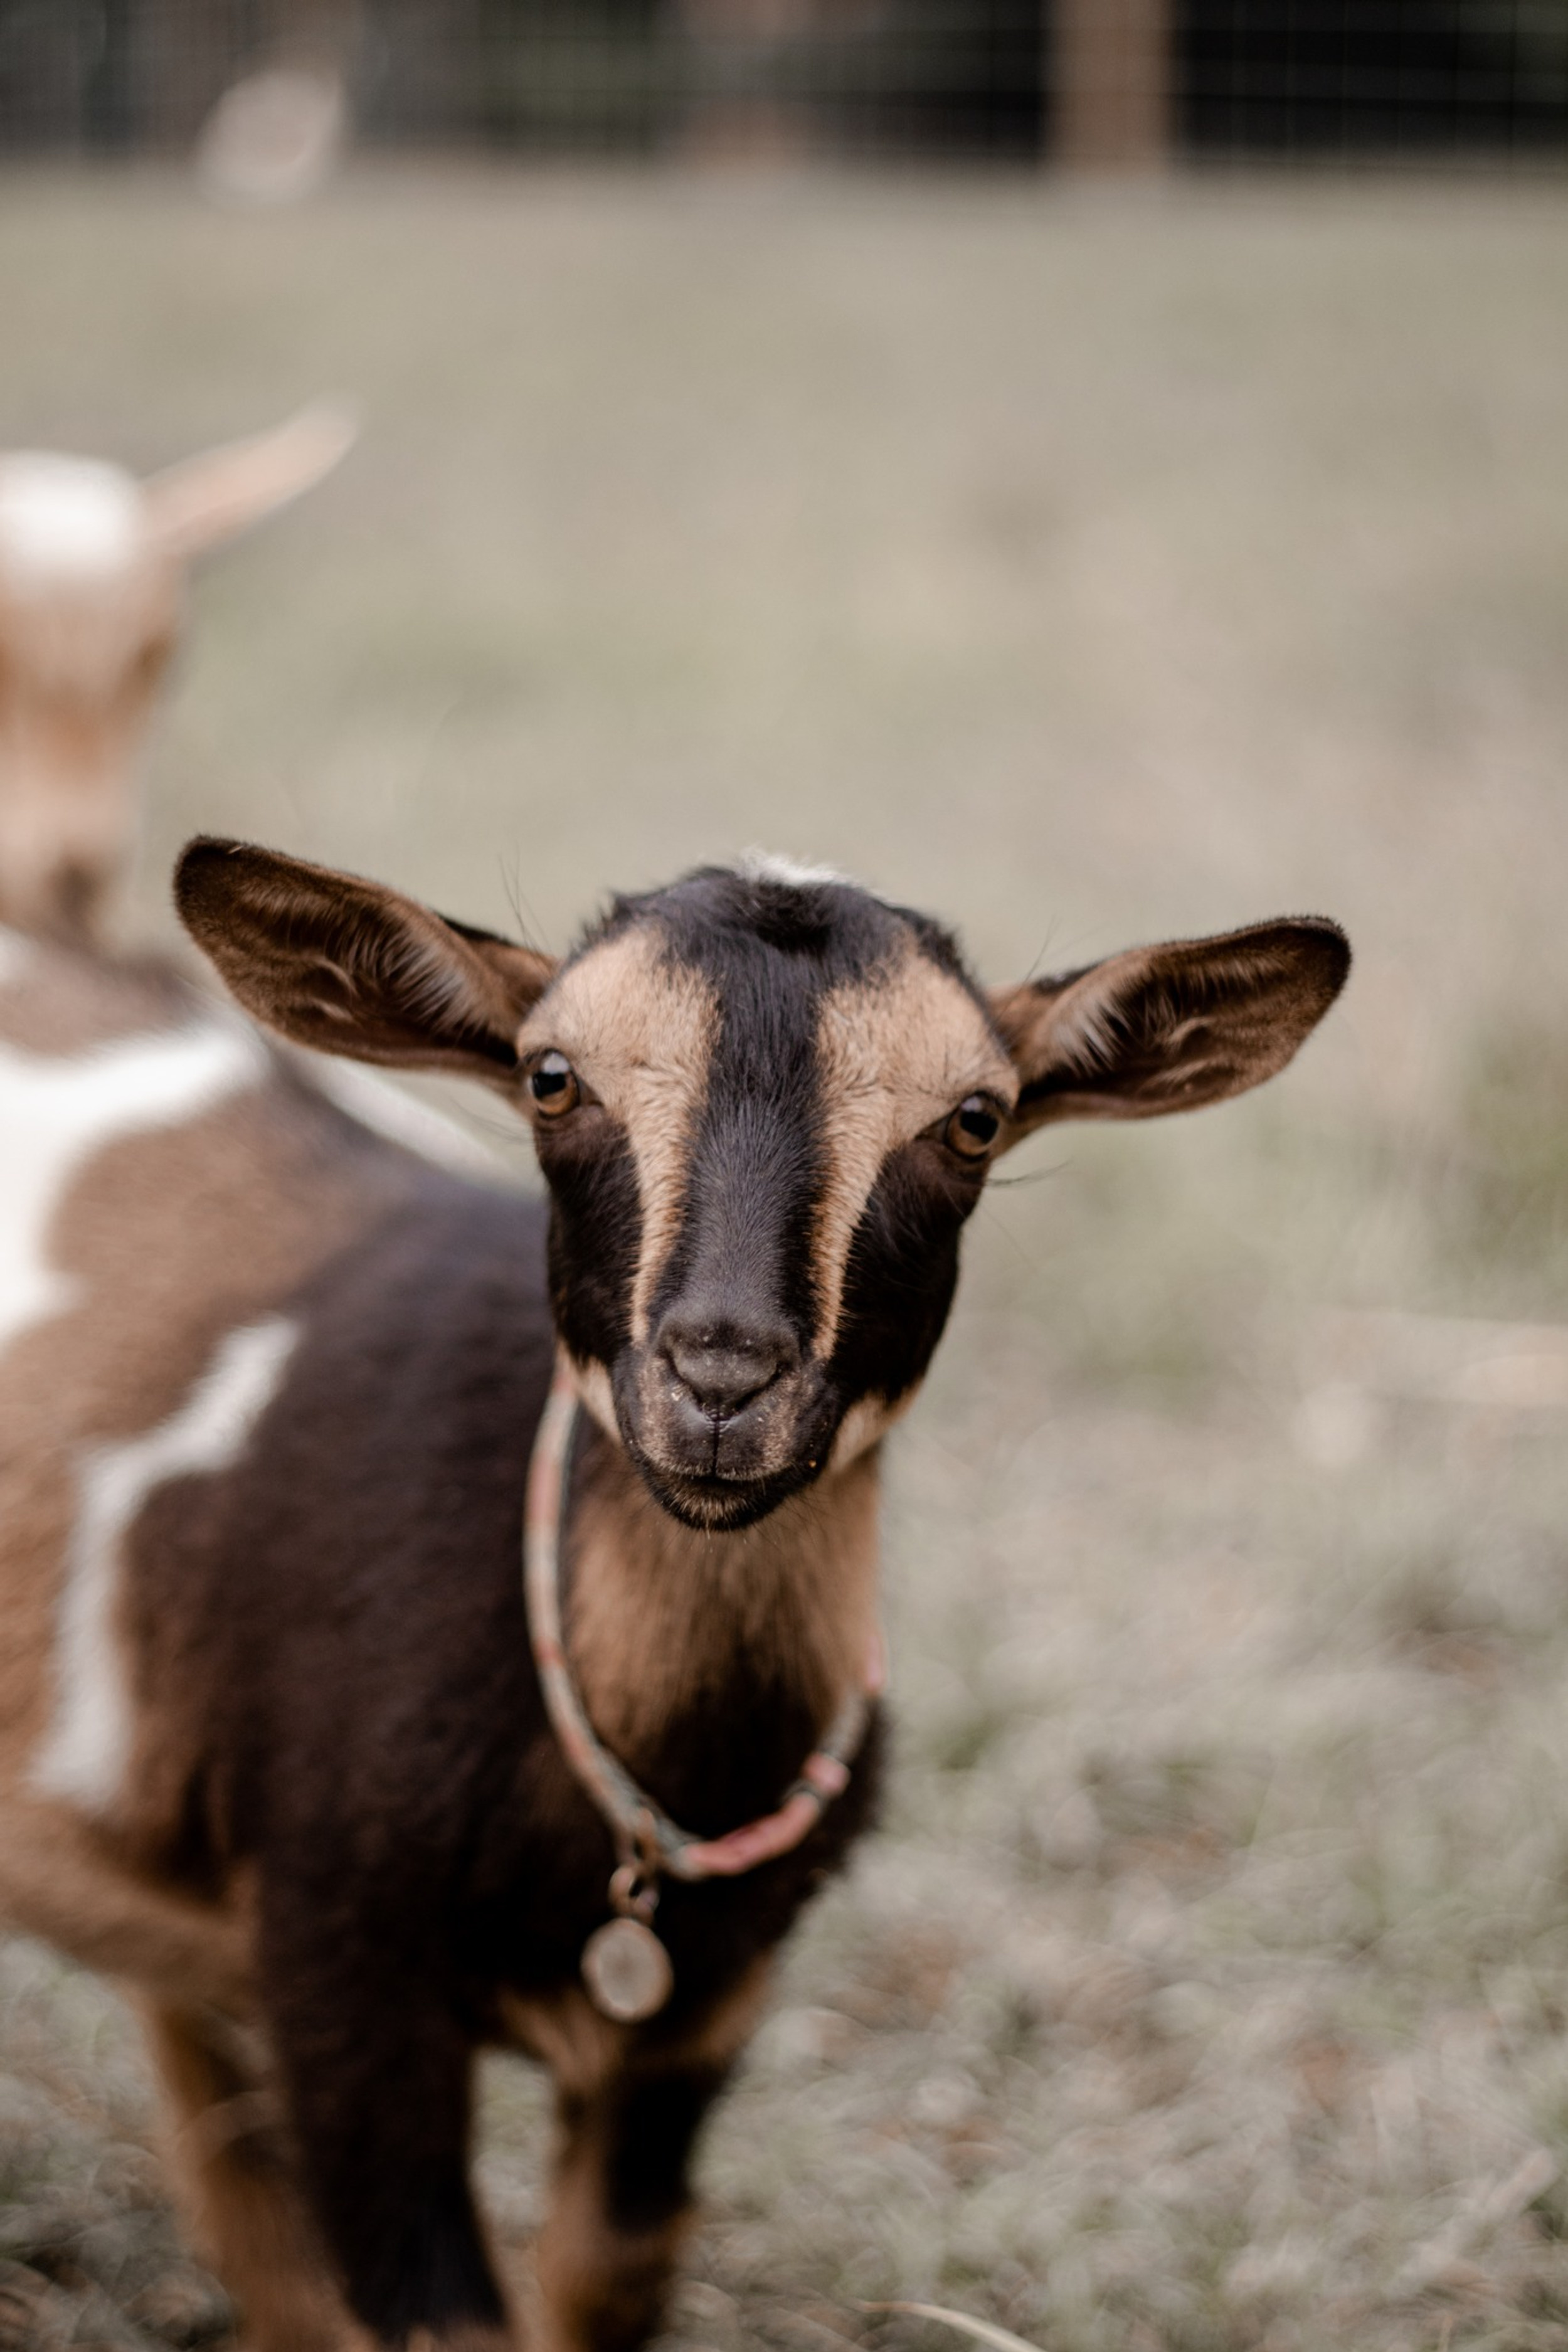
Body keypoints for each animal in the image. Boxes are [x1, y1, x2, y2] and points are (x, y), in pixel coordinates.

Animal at [0, 839, 1348, 2352]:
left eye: (975, 1119)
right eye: (549, 1076)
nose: (719, 1378)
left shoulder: (700, 2020)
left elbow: (606, 2277)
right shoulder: (340, 1981)